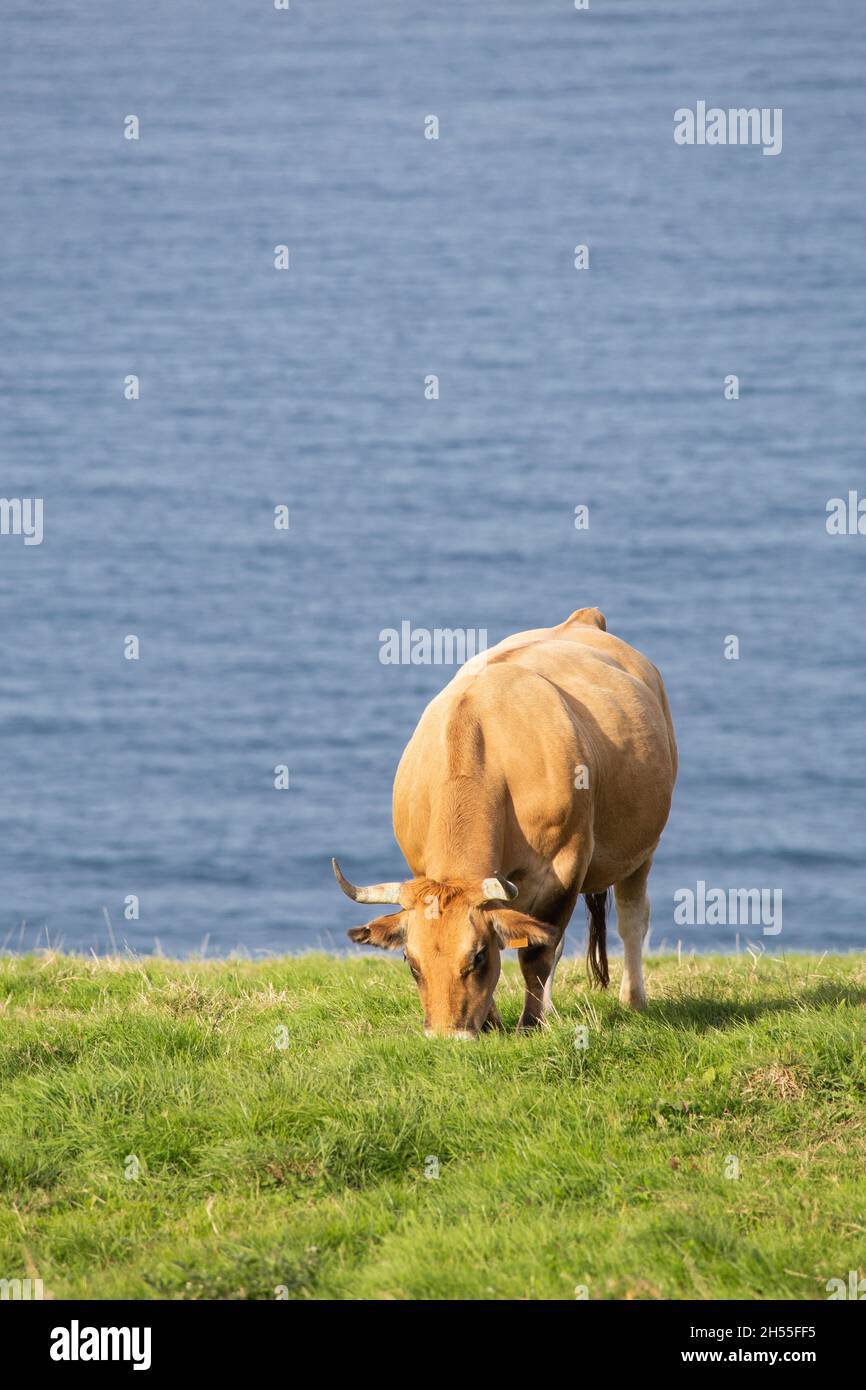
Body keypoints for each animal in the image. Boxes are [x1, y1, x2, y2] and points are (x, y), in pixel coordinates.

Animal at [333, 607, 677, 1037]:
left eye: (478, 957)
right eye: (412, 963)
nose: (446, 1036)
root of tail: (583, 619)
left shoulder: (563, 868)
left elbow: (538, 951)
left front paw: (529, 1024)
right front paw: (493, 1022)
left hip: (642, 849)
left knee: (632, 919)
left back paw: (633, 1000)